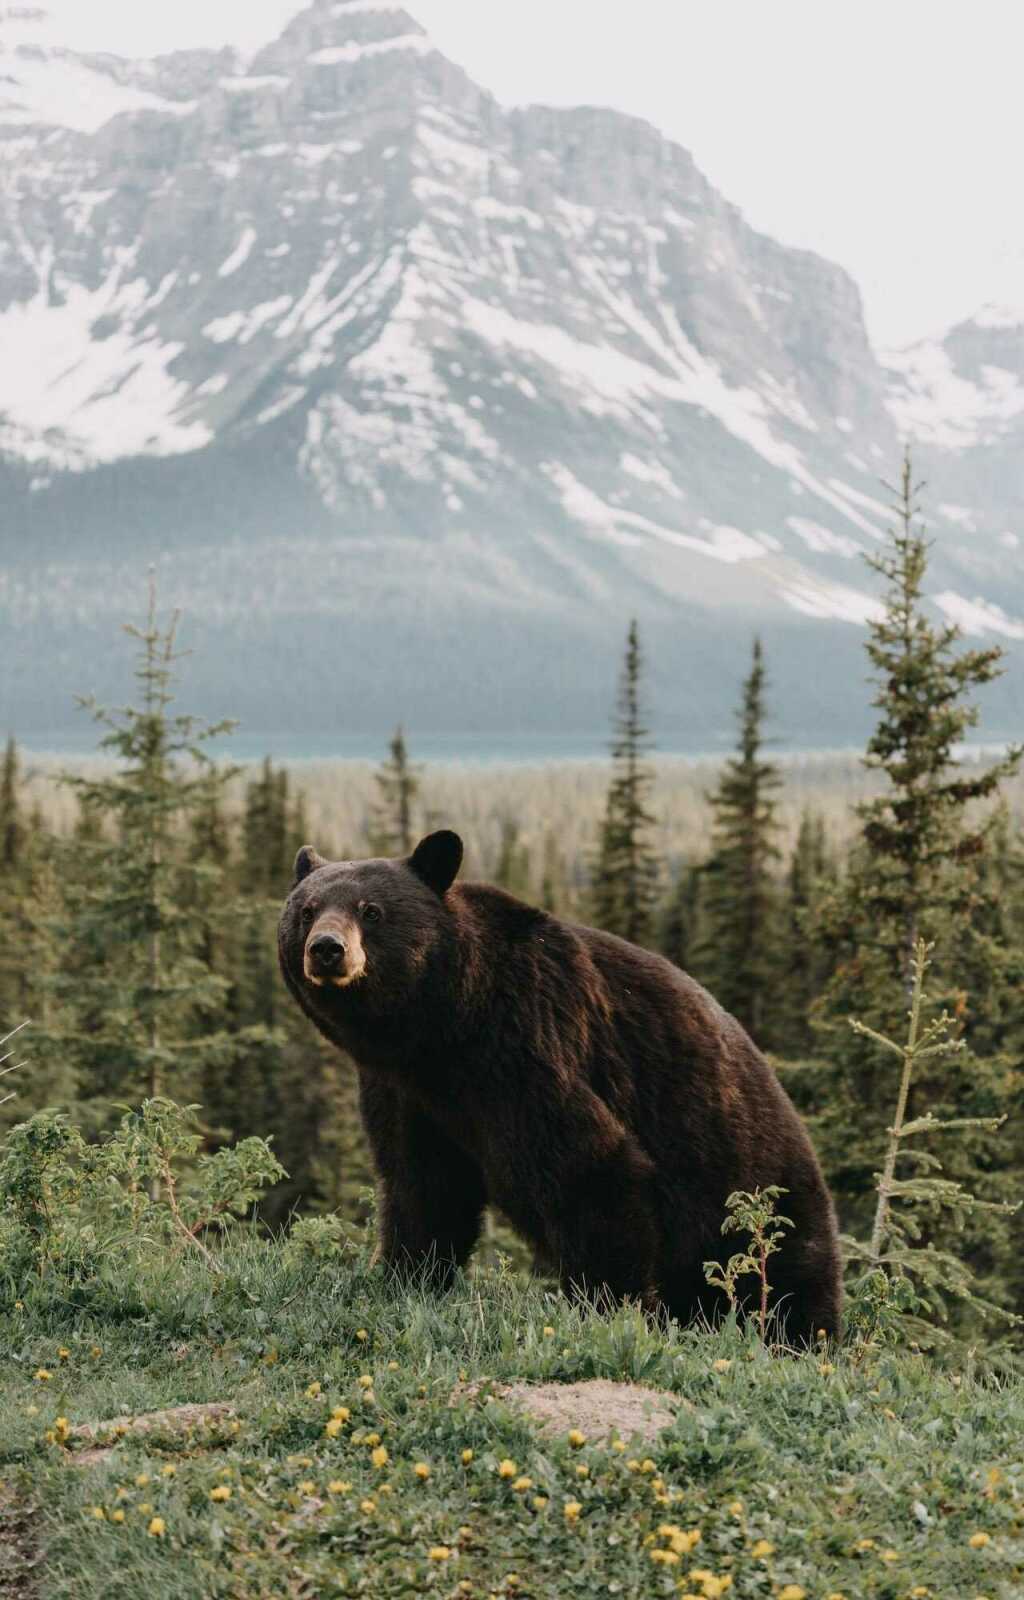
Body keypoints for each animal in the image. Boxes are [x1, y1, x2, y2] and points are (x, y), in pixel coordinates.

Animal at [278, 829, 842, 1343]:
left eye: (371, 911)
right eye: (306, 910)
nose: (326, 949)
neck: (444, 1032)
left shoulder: (528, 1048)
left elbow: (592, 1168)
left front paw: (605, 1307)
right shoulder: (406, 1093)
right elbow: (421, 1185)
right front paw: (405, 1277)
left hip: (756, 1197)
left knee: (788, 1282)